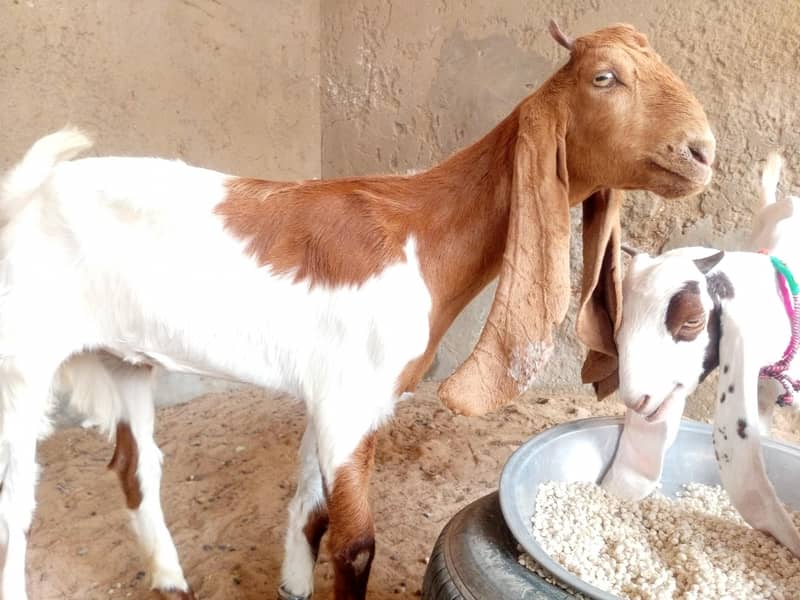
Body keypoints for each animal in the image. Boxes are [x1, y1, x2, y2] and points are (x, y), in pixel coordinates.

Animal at [0, 21, 714, 600]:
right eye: (604, 78)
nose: (703, 151)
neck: (421, 230)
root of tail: (30, 191)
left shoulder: (337, 393)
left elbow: (310, 515)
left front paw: (291, 586)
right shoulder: (348, 397)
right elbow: (355, 544)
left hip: (122, 357)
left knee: (135, 468)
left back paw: (172, 580)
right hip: (23, 360)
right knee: (15, 502)